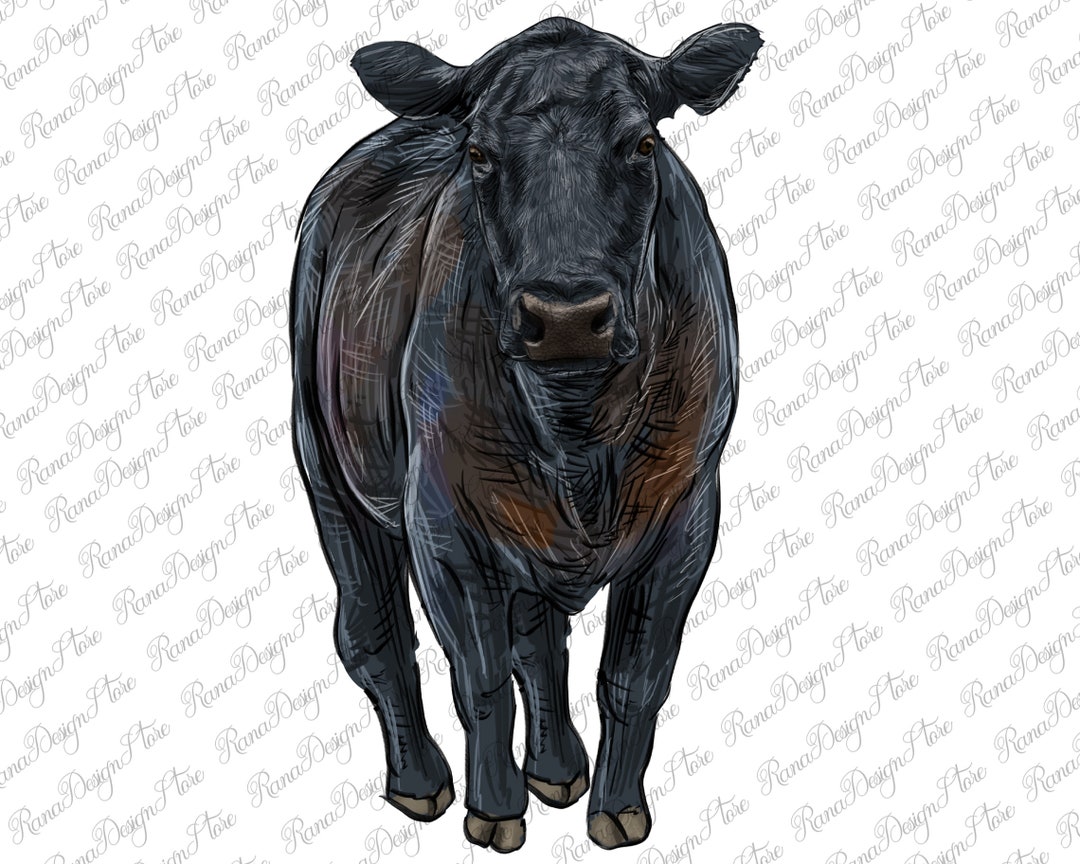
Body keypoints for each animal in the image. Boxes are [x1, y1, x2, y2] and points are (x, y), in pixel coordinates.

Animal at [289, 16, 761, 853]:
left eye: (642, 143)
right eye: (479, 153)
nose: (566, 316)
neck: (578, 431)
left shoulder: (686, 518)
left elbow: (633, 674)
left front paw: (616, 810)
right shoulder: (444, 523)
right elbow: (478, 677)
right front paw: (494, 809)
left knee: (539, 641)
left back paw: (558, 769)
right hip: (327, 468)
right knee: (375, 634)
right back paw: (420, 782)